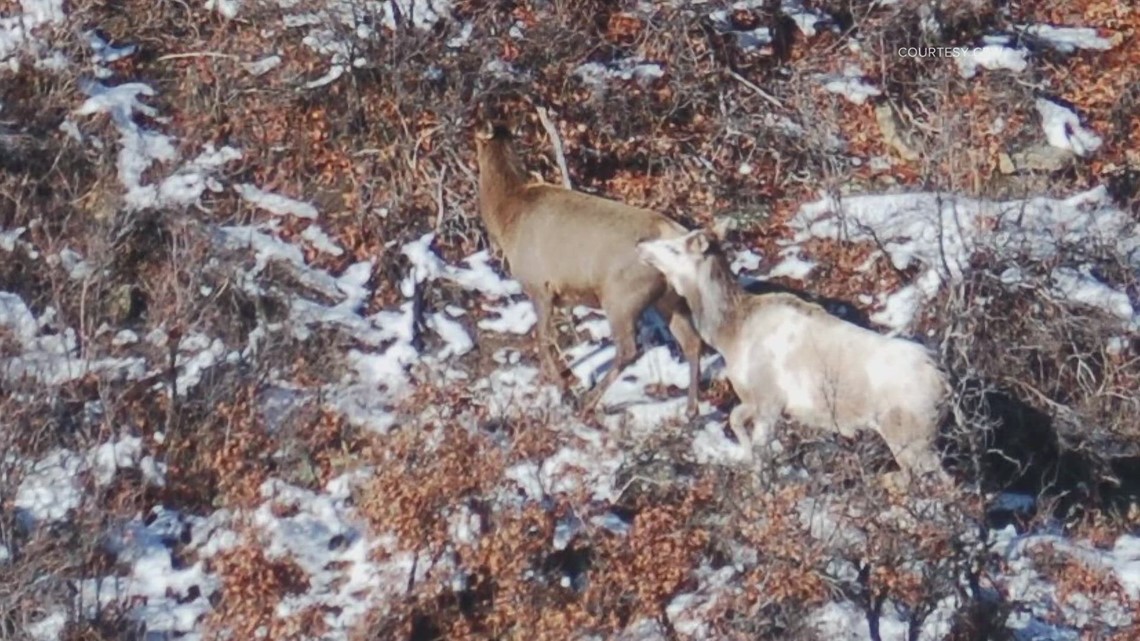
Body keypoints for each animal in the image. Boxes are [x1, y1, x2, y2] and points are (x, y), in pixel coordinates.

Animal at [474, 122, 705, 418]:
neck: (507, 217)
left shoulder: (539, 285)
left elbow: (543, 338)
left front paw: (562, 387)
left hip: (622, 297)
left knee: (629, 350)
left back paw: (588, 401)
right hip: (670, 299)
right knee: (692, 343)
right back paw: (691, 410)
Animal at [637, 228, 952, 485]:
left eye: (676, 248)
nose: (642, 245)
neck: (731, 335)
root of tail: (942, 380)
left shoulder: (770, 399)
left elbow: (761, 451)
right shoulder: (754, 398)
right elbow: (736, 421)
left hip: (911, 435)